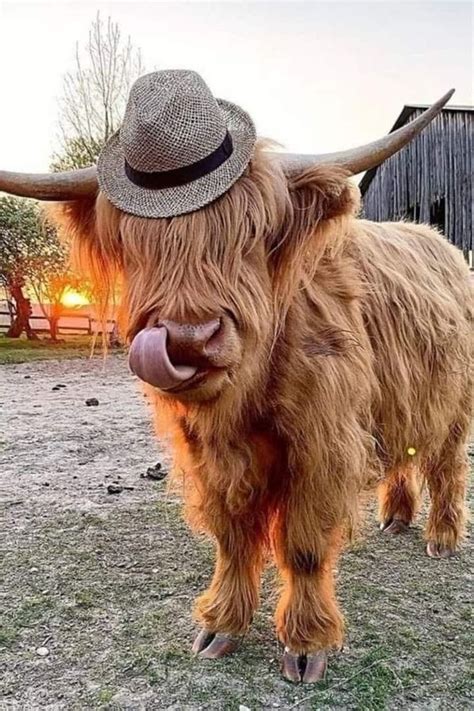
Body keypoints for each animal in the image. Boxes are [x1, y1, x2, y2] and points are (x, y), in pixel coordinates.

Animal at [1, 77, 471, 684]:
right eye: (134, 240)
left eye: (255, 233)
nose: (188, 341)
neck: (246, 399)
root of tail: (437, 239)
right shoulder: (209, 454)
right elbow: (231, 537)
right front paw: (220, 625)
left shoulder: (321, 446)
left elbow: (303, 544)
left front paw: (305, 644)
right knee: (405, 456)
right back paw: (394, 517)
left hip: (455, 406)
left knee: (447, 465)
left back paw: (442, 537)